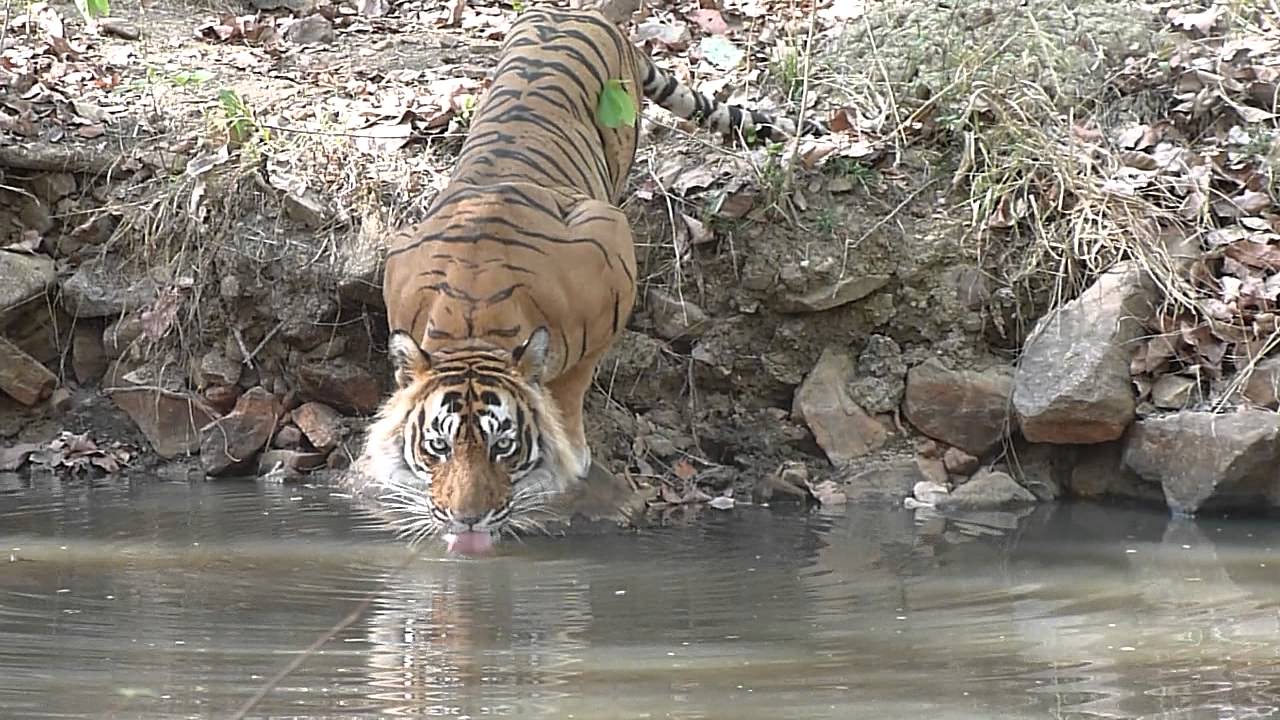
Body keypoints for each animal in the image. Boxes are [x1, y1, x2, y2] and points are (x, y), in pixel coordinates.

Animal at [361, 6, 825, 551]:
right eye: (438, 446)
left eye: (503, 446)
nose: (466, 519)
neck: (473, 326)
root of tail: (579, 12)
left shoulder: (609, 254)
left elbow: (571, 384)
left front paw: (571, 451)